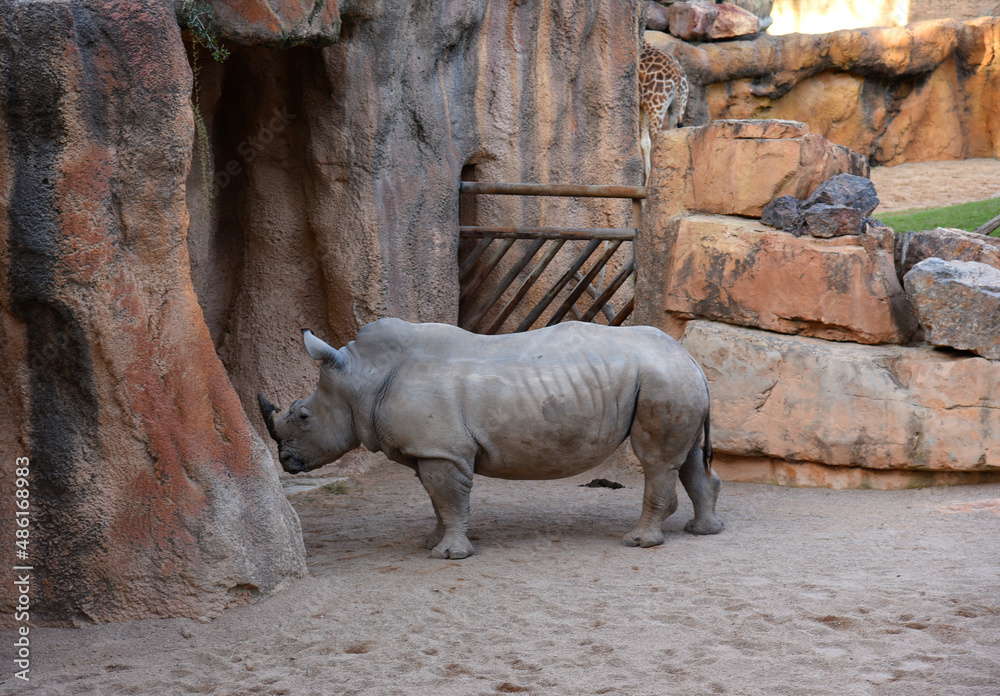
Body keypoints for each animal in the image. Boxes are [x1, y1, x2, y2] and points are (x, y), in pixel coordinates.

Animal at [258, 318, 723, 559]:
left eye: (303, 417)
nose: (286, 461)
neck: (362, 378)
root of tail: (690, 357)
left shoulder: (442, 451)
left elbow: (448, 498)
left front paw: (449, 555)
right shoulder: (433, 450)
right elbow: (438, 500)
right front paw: (431, 542)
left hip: (662, 379)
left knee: (656, 460)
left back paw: (638, 542)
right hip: (673, 380)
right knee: (686, 459)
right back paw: (703, 531)